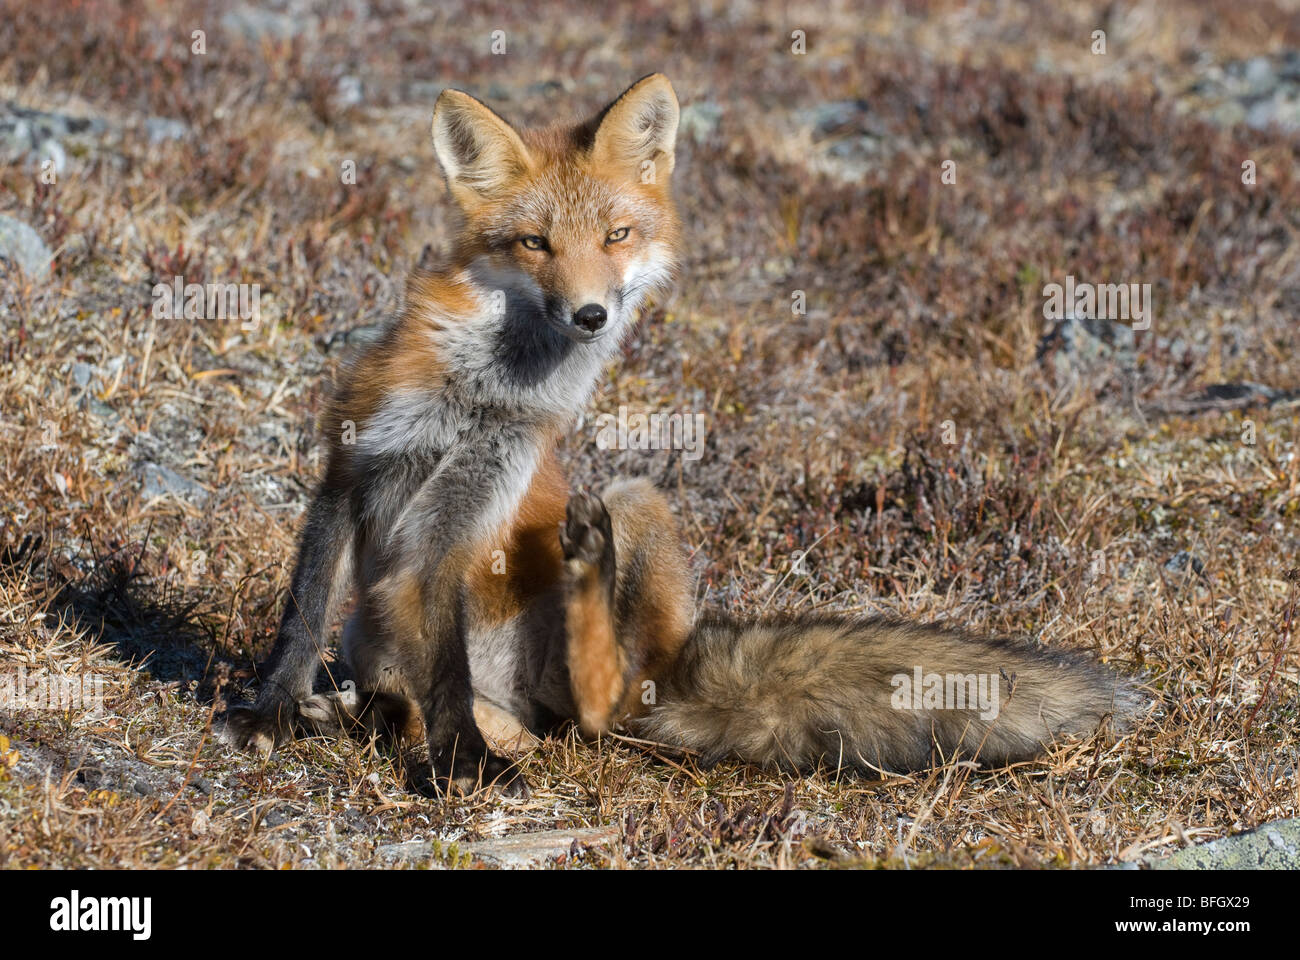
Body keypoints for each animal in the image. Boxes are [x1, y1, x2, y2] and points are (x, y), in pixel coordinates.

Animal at [223, 74, 1139, 794]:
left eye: (616, 236)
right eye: (535, 243)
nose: (590, 314)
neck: (482, 392)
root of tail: (672, 677)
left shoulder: (469, 503)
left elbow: (441, 659)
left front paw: (459, 765)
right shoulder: (355, 466)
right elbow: (303, 613)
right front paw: (272, 712)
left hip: (636, 508)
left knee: (596, 710)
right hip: (394, 632)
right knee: (478, 714)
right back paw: (369, 711)